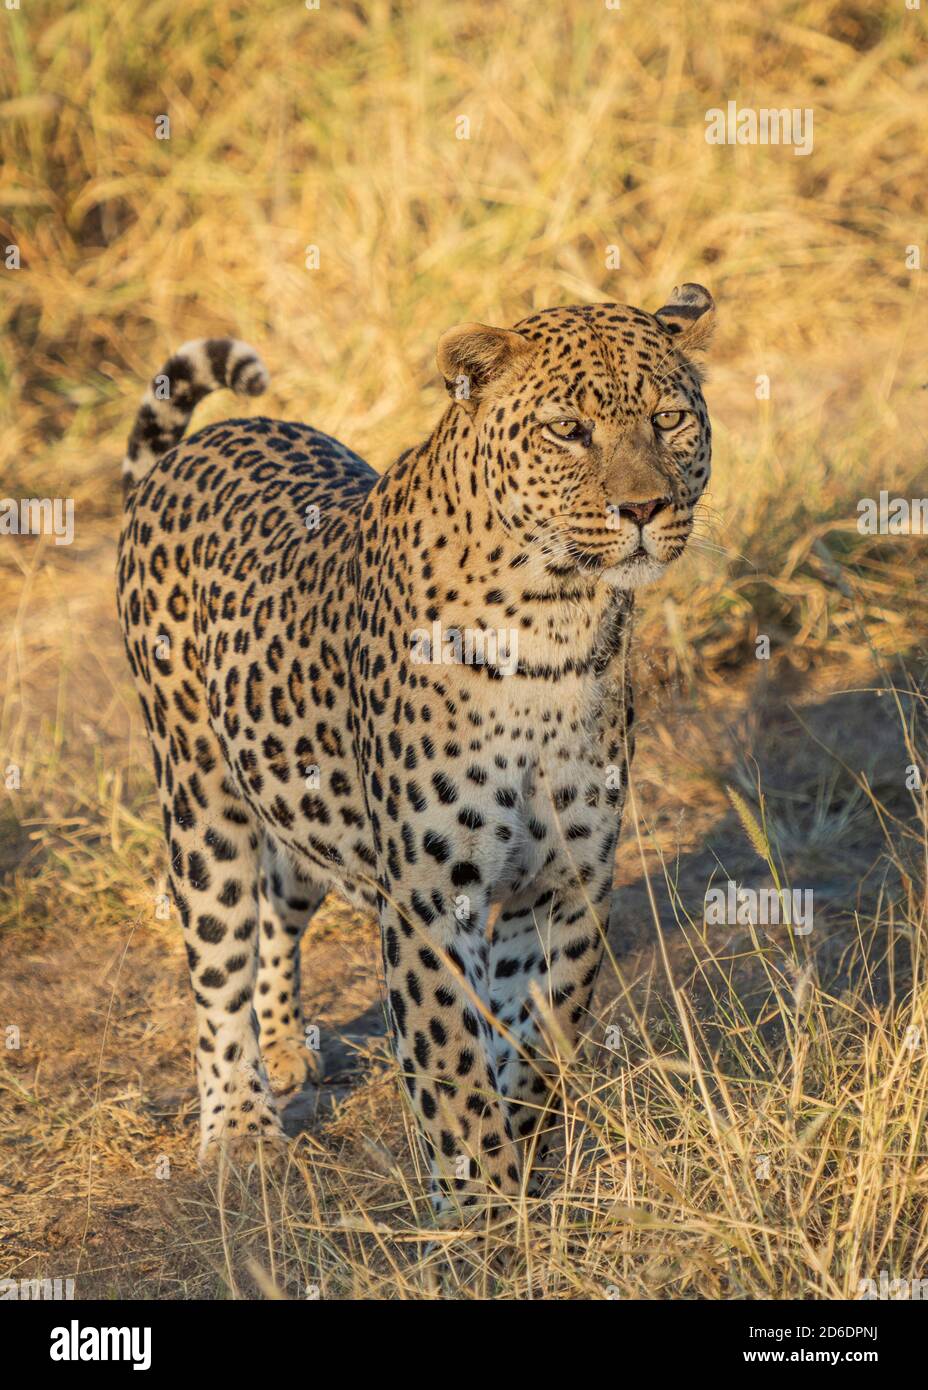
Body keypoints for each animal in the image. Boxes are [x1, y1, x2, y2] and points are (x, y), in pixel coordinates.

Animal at [116, 285, 715, 1212]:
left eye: (670, 417)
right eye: (567, 430)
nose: (645, 510)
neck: (557, 621)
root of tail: (195, 448)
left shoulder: (569, 884)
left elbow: (537, 1038)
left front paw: (524, 1156)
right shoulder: (432, 897)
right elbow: (451, 1059)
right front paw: (480, 1206)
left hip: (296, 796)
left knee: (278, 912)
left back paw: (286, 1044)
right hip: (199, 803)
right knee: (217, 967)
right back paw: (241, 1129)